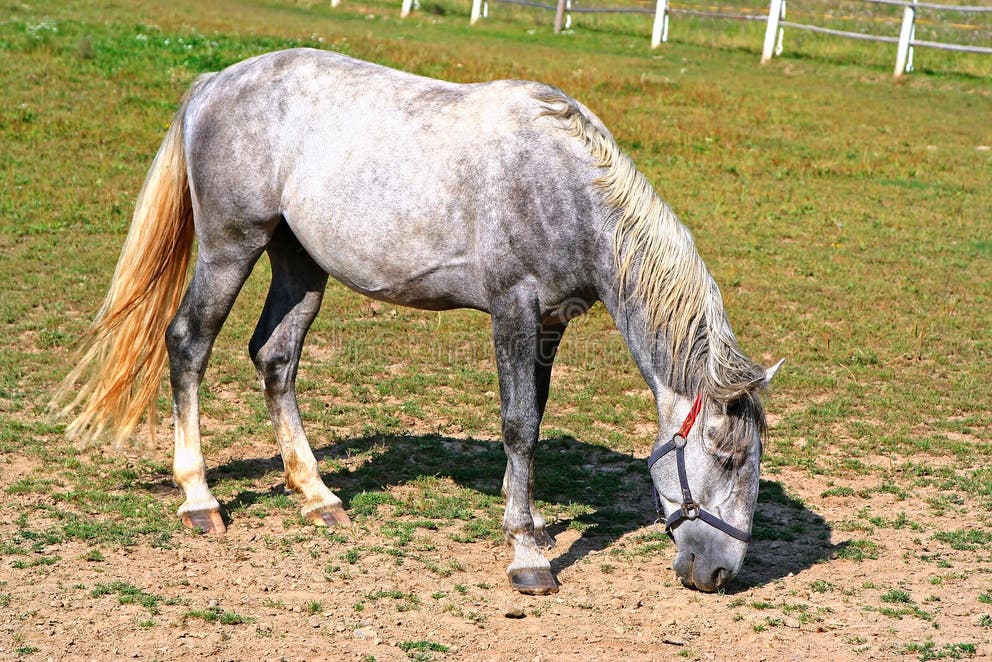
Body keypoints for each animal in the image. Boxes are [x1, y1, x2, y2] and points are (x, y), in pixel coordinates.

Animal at [55, 48, 782, 595]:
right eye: (725, 456)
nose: (719, 573)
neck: (565, 189)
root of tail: (215, 82)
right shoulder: (513, 310)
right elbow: (519, 425)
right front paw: (527, 556)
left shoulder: (551, 324)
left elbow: (535, 423)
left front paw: (529, 520)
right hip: (230, 247)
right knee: (188, 345)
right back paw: (200, 500)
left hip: (300, 264)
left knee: (275, 359)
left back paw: (317, 494)